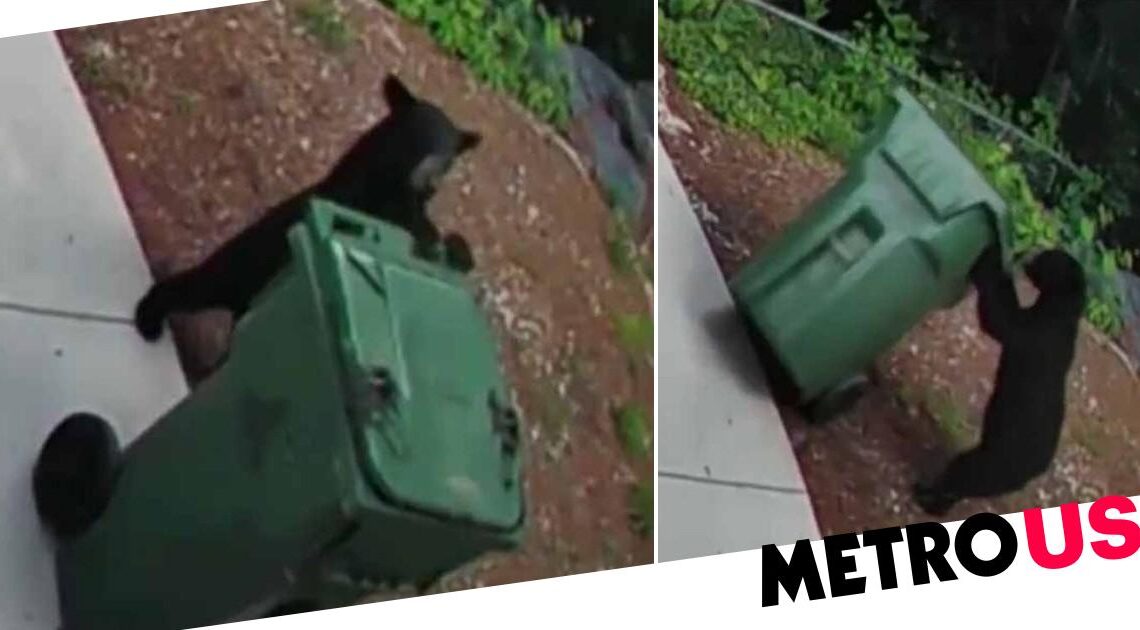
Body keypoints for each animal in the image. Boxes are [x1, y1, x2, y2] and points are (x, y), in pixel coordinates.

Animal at [134, 75, 481, 344]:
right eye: (426, 146)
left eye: (448, 158)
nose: (429, 180)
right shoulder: (365, 191)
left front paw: (453, 248)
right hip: (239, 267)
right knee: (194, 287)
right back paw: (148, 319)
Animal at [912, 242, 1089, 512]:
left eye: (1047, 258)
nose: (1030, 255)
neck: (1062, 313)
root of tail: (1031, 475)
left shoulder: (1020, 328)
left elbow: (998, 313)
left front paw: (992, 256)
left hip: (982, 466)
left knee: (955, 483)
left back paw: (924, 497)